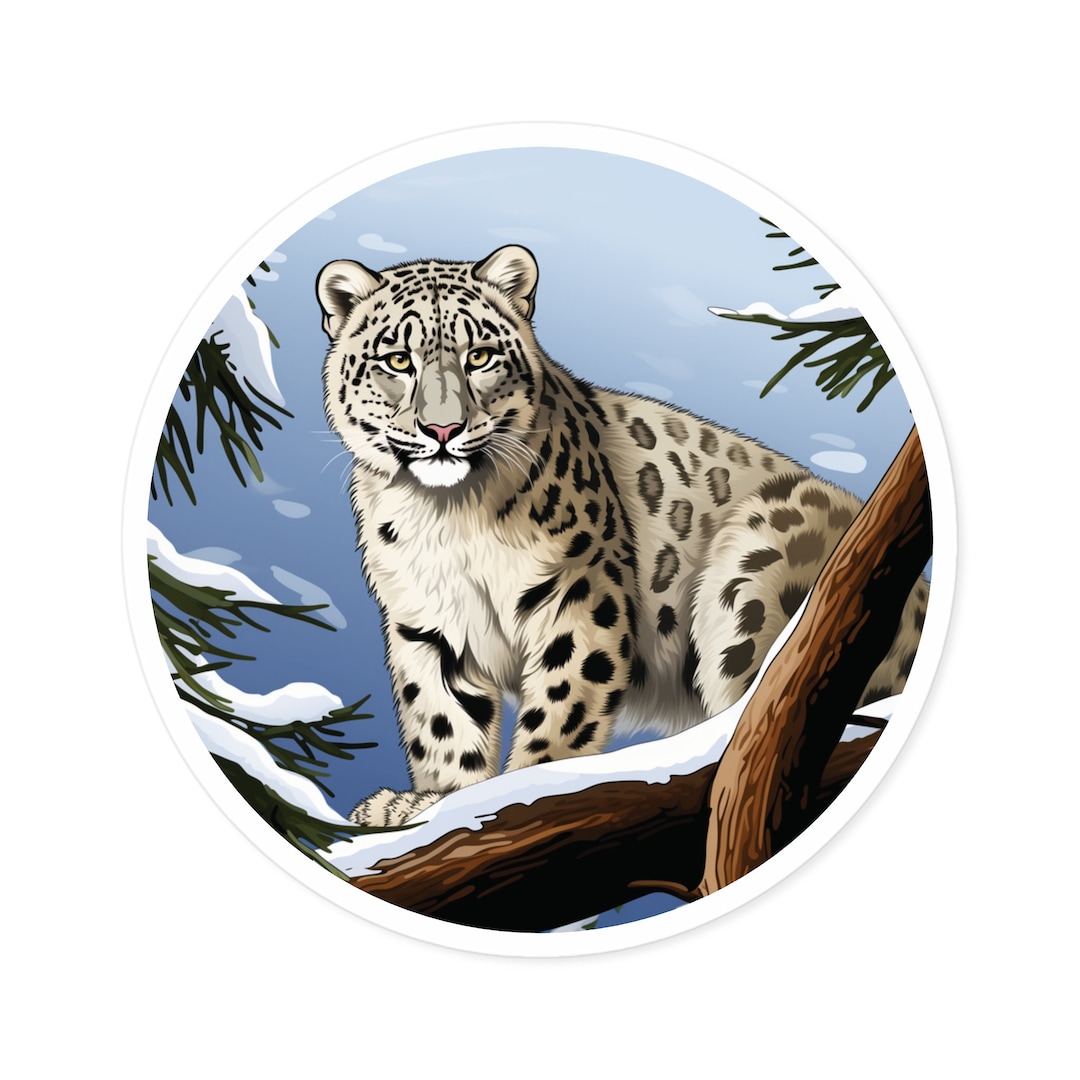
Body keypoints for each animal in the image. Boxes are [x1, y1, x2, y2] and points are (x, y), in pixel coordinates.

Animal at [316, 244, 928, 827]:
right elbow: (442, 722)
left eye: (480, 356)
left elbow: (563, 701)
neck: (448, 515)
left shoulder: (577, 592)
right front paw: (434, 804)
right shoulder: (426, 622)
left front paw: (529, 784)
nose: (442, 429)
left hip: (762, 559)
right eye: (397, 360)